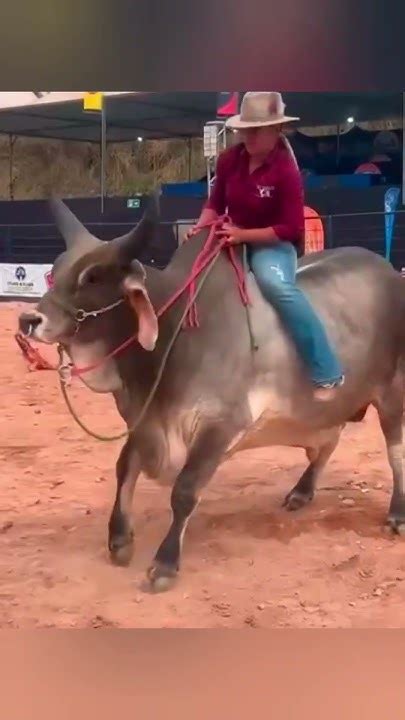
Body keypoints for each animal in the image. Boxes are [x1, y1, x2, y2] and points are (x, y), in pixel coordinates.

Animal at [18, 194, 405, 592]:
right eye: (55, 270)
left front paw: (164, 564)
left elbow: (184, 490)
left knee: (395, 453)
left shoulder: (221, 423)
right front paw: (120, 539)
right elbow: (125, 467)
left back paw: (396, 512)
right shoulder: (146, 420)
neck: (173, 335)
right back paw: (302, 491)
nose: (28, 320)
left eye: (93, 276)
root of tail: (388, 269)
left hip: (393, 392)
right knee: (328, 440)